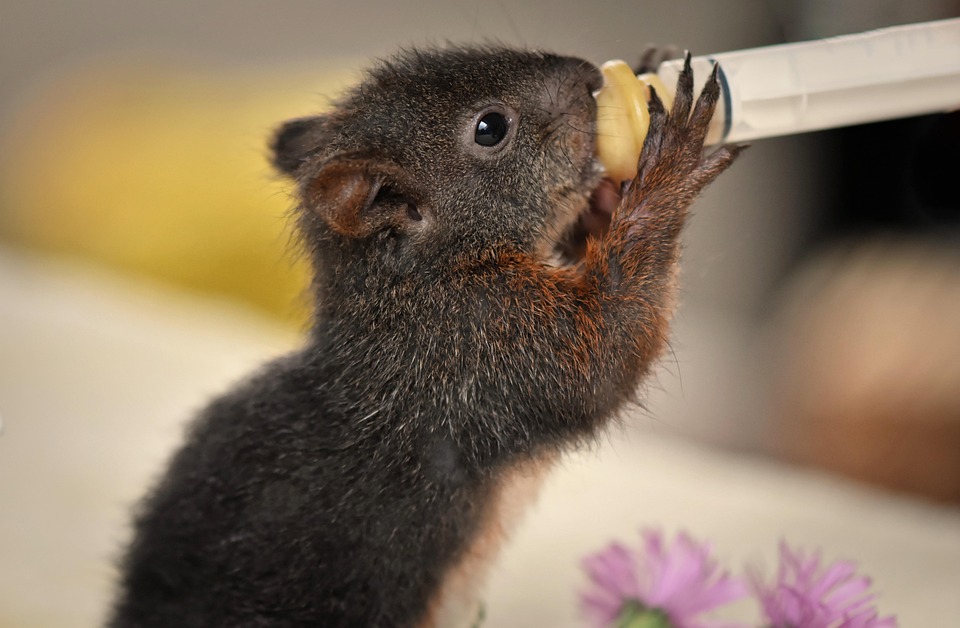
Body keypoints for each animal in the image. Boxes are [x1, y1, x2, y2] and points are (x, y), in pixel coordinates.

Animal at [107, 45, 742, 628]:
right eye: (490, 128)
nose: (588, 76)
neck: (417, 280)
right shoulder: (487, 340)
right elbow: (607, 345)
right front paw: (669, 169)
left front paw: (613, 193)